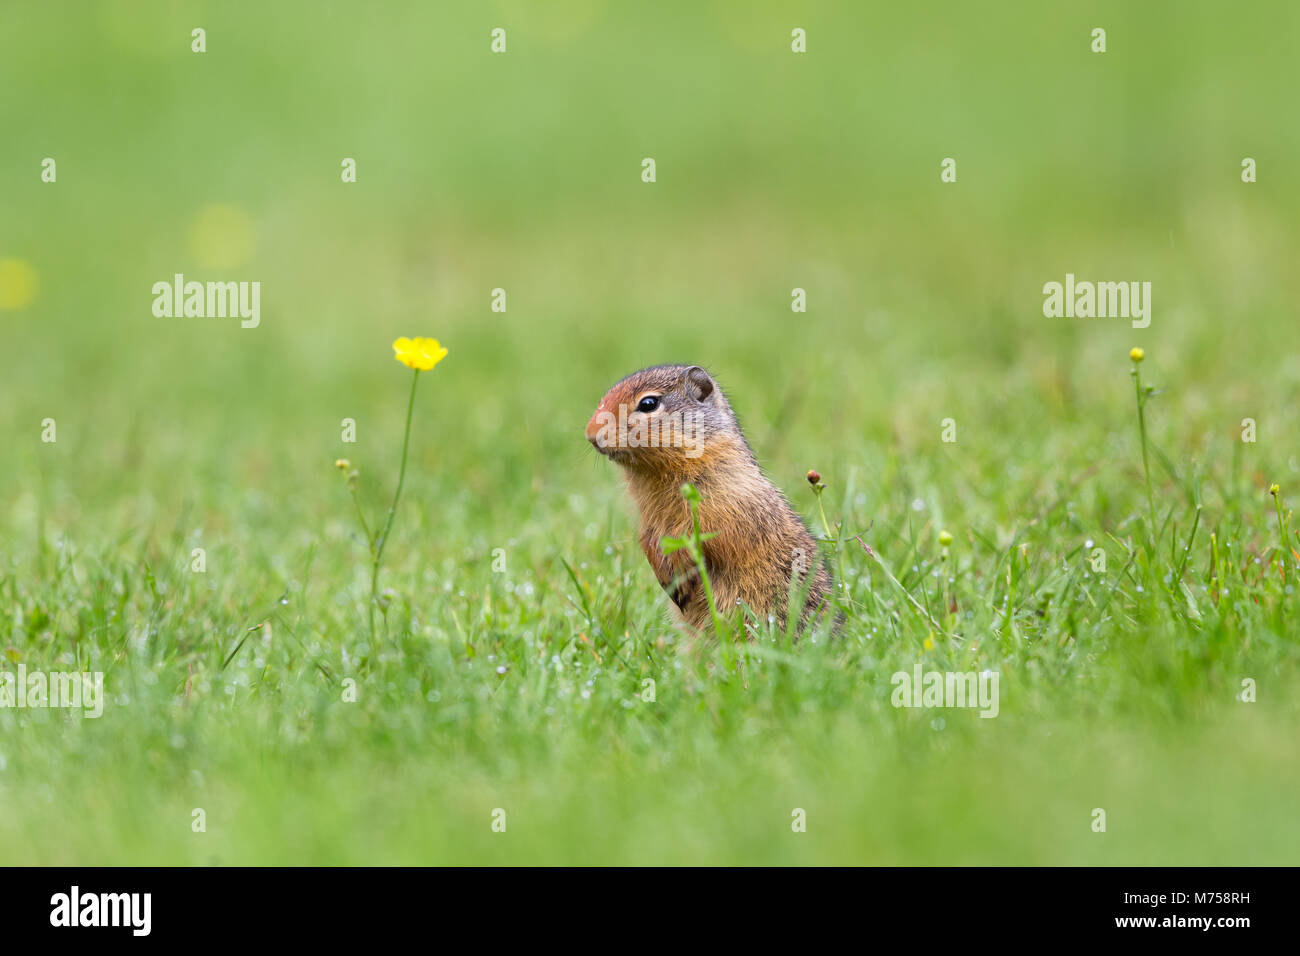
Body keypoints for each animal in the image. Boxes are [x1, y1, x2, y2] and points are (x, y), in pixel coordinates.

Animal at [585, 364, 833, 636]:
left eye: (649, 403)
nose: (590, 434)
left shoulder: (731, 503)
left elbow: (712, 535)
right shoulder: (647, 516)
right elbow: (647, 537)